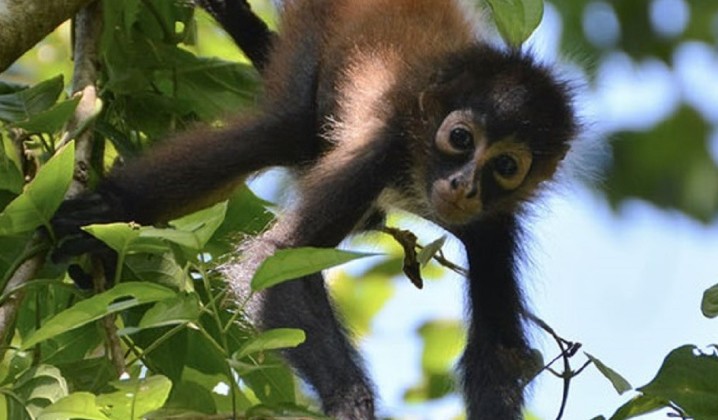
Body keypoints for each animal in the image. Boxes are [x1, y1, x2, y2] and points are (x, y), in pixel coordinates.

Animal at [53, 0, 578, 418]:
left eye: (505, 165)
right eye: (462, 138)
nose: (464, 185)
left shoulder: (496, 221)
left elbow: (497, 358)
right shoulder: (381, 149)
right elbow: (275, 262)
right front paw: (349, 402)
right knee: (286, 127)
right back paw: (111, 206)